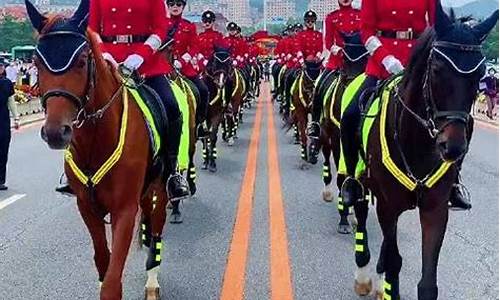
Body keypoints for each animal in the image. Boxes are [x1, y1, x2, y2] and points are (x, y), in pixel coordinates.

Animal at [27, 1, 171, 298]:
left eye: (82, 62)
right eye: (36, 62)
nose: (56, 132)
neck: (96, 140)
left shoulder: (123, 210)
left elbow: (113, 281)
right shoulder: (87, 207)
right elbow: (103, 263)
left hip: (160, 186)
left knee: (157, 227)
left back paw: (152, 280)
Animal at [350, 7, 498, 300]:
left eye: (479, 75)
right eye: (437, 69)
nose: (453, 147)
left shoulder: (435, 208)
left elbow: (428, 282)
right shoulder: (387, 205)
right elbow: (395, 260)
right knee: (359, 208)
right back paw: (363, 273)